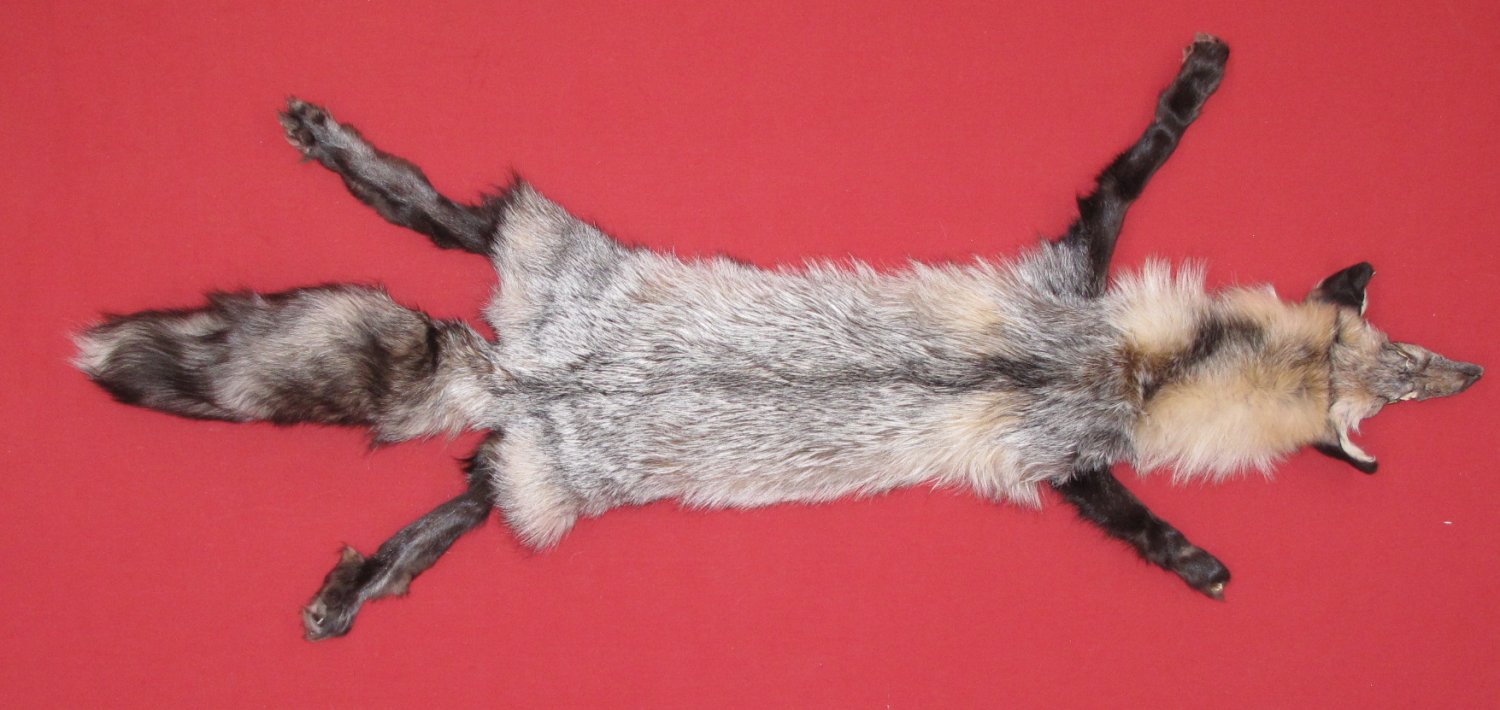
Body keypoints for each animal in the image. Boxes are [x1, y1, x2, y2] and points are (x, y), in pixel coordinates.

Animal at [73, 35, 1482, 641]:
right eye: (1404, 376)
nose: (1472, 370)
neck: (1127, 365)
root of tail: (511, 372)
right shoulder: (1075, 366)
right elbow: (1143, 159)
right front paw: (1198, 562)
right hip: (550, 321)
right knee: (439, 223)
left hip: (528, 451)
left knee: (451, 479)